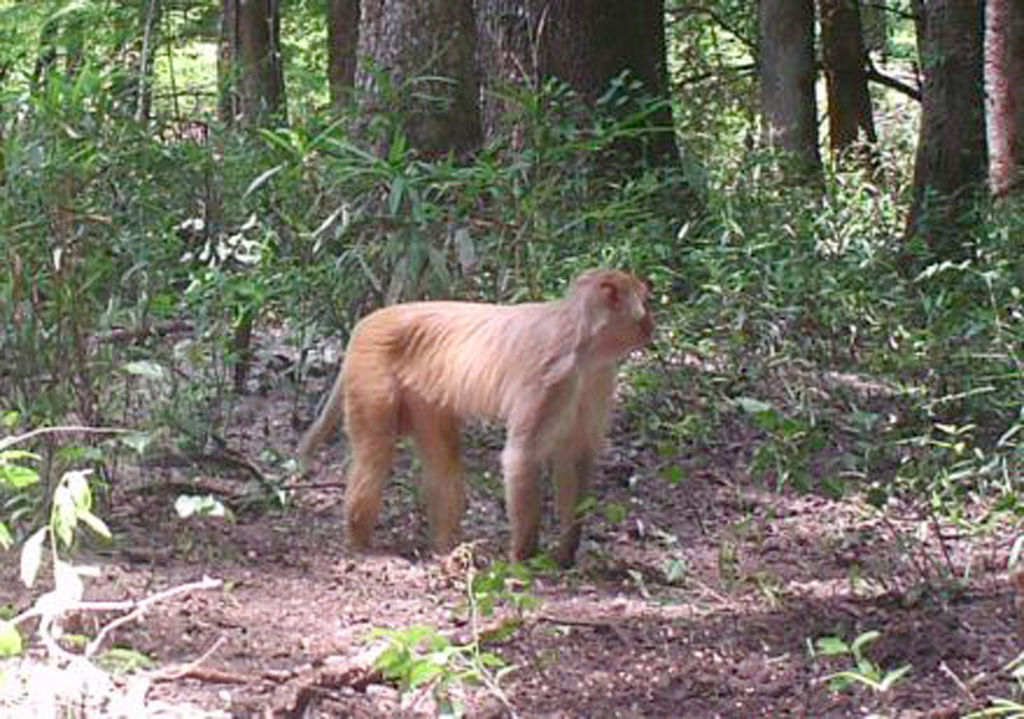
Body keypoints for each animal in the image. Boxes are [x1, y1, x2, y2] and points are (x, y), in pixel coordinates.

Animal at [297, 268, 654, 567]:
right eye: (645, 303)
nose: (651, 325)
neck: (581, 339)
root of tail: (367, 322)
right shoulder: (553, 379)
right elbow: (522, 456)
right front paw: (523, 557)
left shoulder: (597, 376)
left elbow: (575, 454)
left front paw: (566, 553)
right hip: (371, 371)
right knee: (375, 455)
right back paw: (360, 545)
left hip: (424, 393)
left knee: (443, 459)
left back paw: (445, 549)